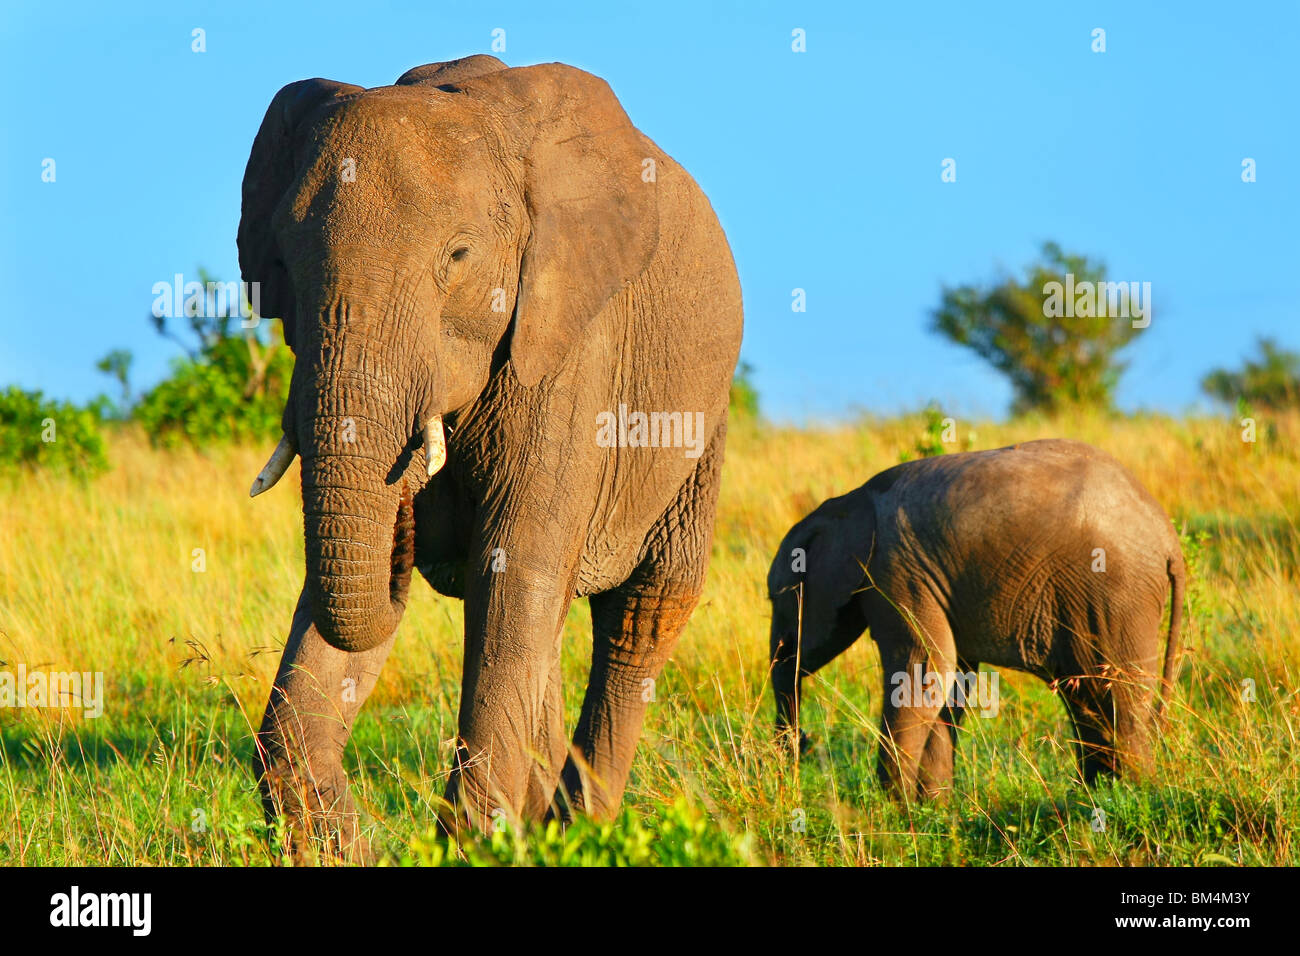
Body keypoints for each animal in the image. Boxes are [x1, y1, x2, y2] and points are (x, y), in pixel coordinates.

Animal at [239, 55, 743, 860]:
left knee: (644, 610)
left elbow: (515, 561)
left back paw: (583, 828)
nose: (411, 509)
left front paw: (476, 845)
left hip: (703, 416)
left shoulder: (571, 339)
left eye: (458, 256)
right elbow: (355, 585)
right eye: (280, 263)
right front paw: (338, 847)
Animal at [766, 439, 1185, 799]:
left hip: (1115, 595)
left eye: (775, 600)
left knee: (1119, 699)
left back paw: (1132, 797)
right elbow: (948, 685)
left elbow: (923, 671)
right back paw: (1093, 796)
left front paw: (891, 812)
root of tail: (1168, 539)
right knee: (1089, 697)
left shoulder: (895, 571)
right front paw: (934, 812)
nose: (803, 747)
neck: (847, 504)